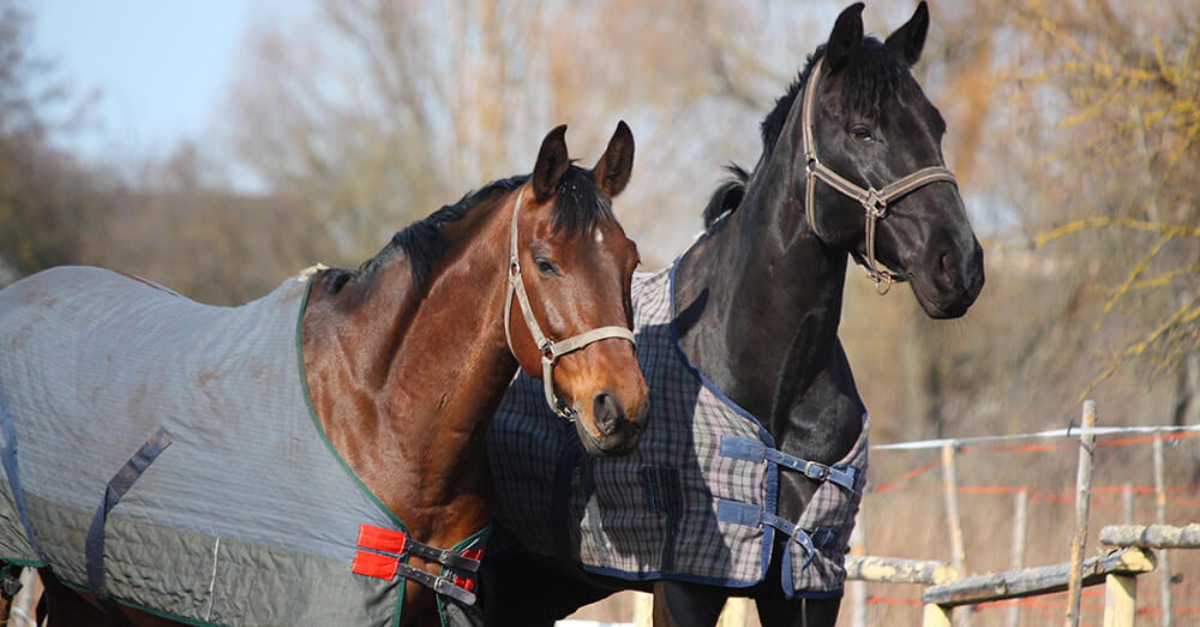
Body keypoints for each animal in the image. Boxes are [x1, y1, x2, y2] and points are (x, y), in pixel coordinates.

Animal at [481, 3, 984, 626]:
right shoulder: (685, 584)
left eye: (936, 126)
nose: (958, 264)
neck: (771, 380)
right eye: (862, 130)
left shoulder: (807, 582)